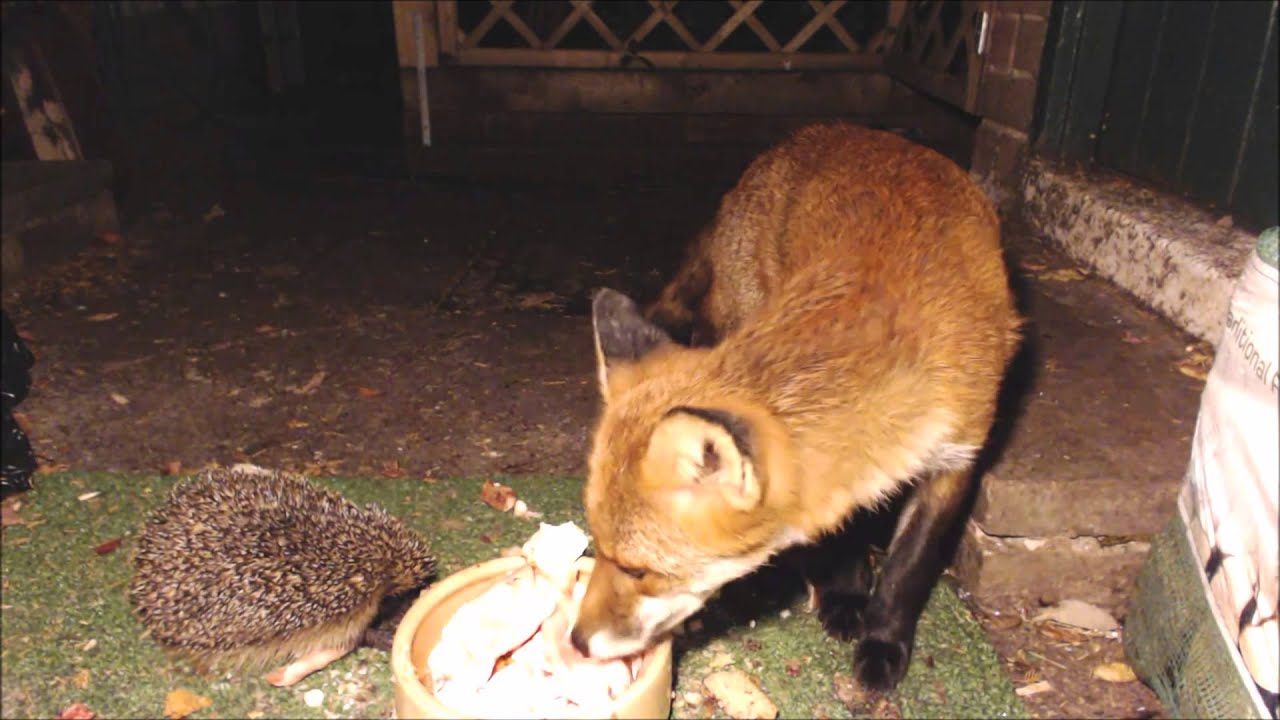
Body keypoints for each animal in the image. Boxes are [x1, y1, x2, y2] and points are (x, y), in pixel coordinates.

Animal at [568, 122, 1023, 692]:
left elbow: (908, 568)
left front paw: (882, 641)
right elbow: (839, 530)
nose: (576, 641)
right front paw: (846, 594)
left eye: (637, 570)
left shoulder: (958, 457)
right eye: (598, 547)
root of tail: (813, 133)